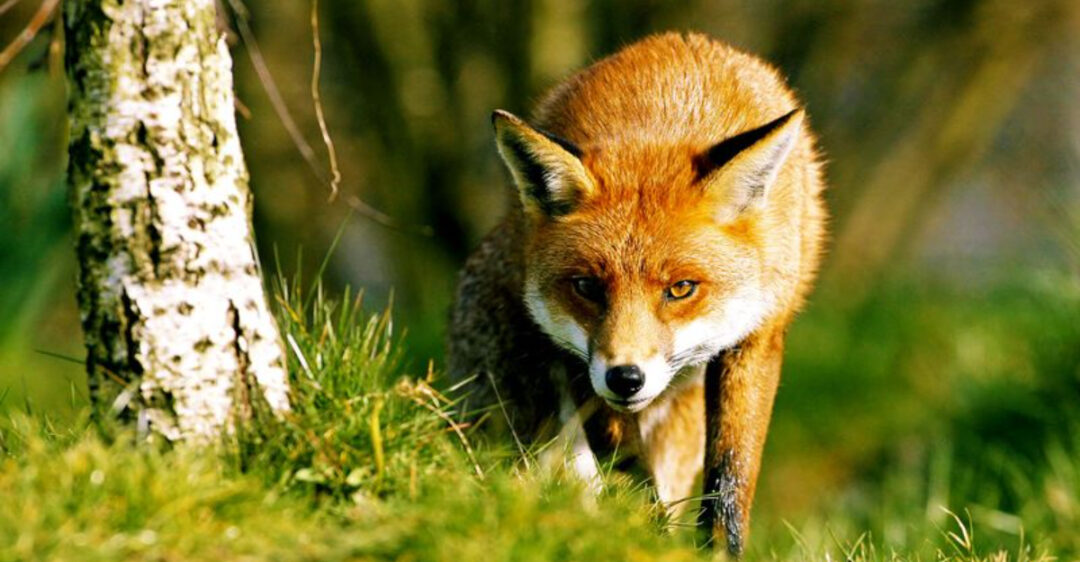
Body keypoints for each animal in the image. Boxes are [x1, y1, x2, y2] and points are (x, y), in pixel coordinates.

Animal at [447, 32, 826, 556]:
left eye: (681, 289)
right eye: (587, 287)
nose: (626, 378)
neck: (666, 103)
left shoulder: (759, 334)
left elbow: (731, 473)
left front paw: (718, 551)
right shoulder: (576, 355)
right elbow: (630, 476)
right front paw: (650, 539)